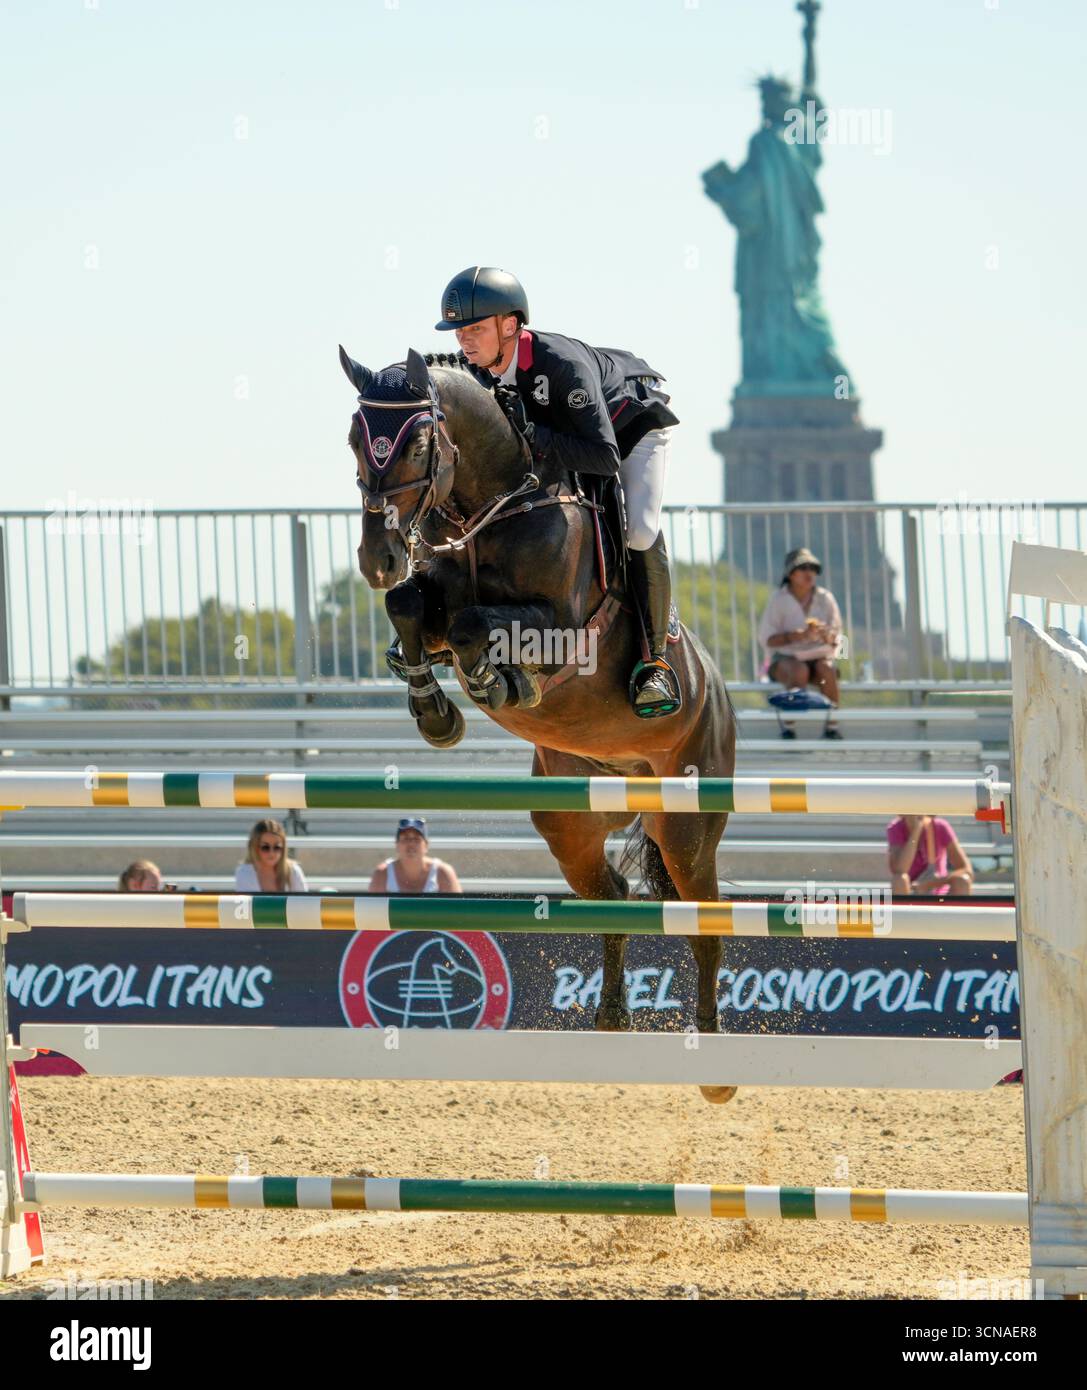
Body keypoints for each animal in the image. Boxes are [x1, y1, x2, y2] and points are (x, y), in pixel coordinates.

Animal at [340, 345, 738, 1092]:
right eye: (355, 439)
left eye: (418, 442)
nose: (376, 558)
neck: (492, 506)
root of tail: (720, 695)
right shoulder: (430, 596)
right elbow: (413, 607)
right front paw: (437, 711)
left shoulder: (562, 629)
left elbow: (474, 625)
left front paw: (497, 680)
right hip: (569, 821)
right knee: (614, 895)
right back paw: (611, 1017)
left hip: (686, 822)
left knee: (706, 917)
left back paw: (716, 1060)